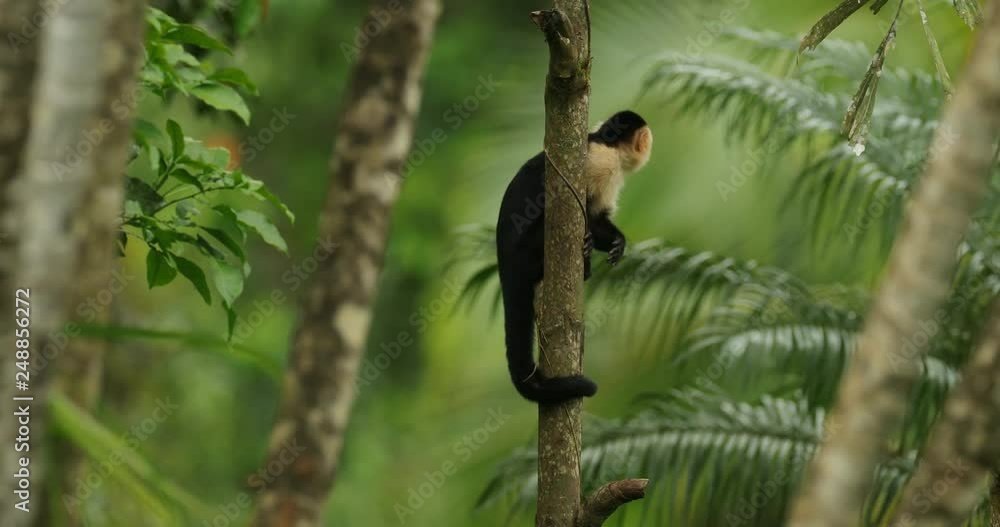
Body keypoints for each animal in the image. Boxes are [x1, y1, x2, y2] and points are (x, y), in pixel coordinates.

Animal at [495, 110, 653, 404]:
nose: (649, 143)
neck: (609, 145)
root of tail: (504, 262)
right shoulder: (601, 162)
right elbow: (579, 207)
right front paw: (590, 242)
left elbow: (599, 217)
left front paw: (618, 243)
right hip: (524, 251)